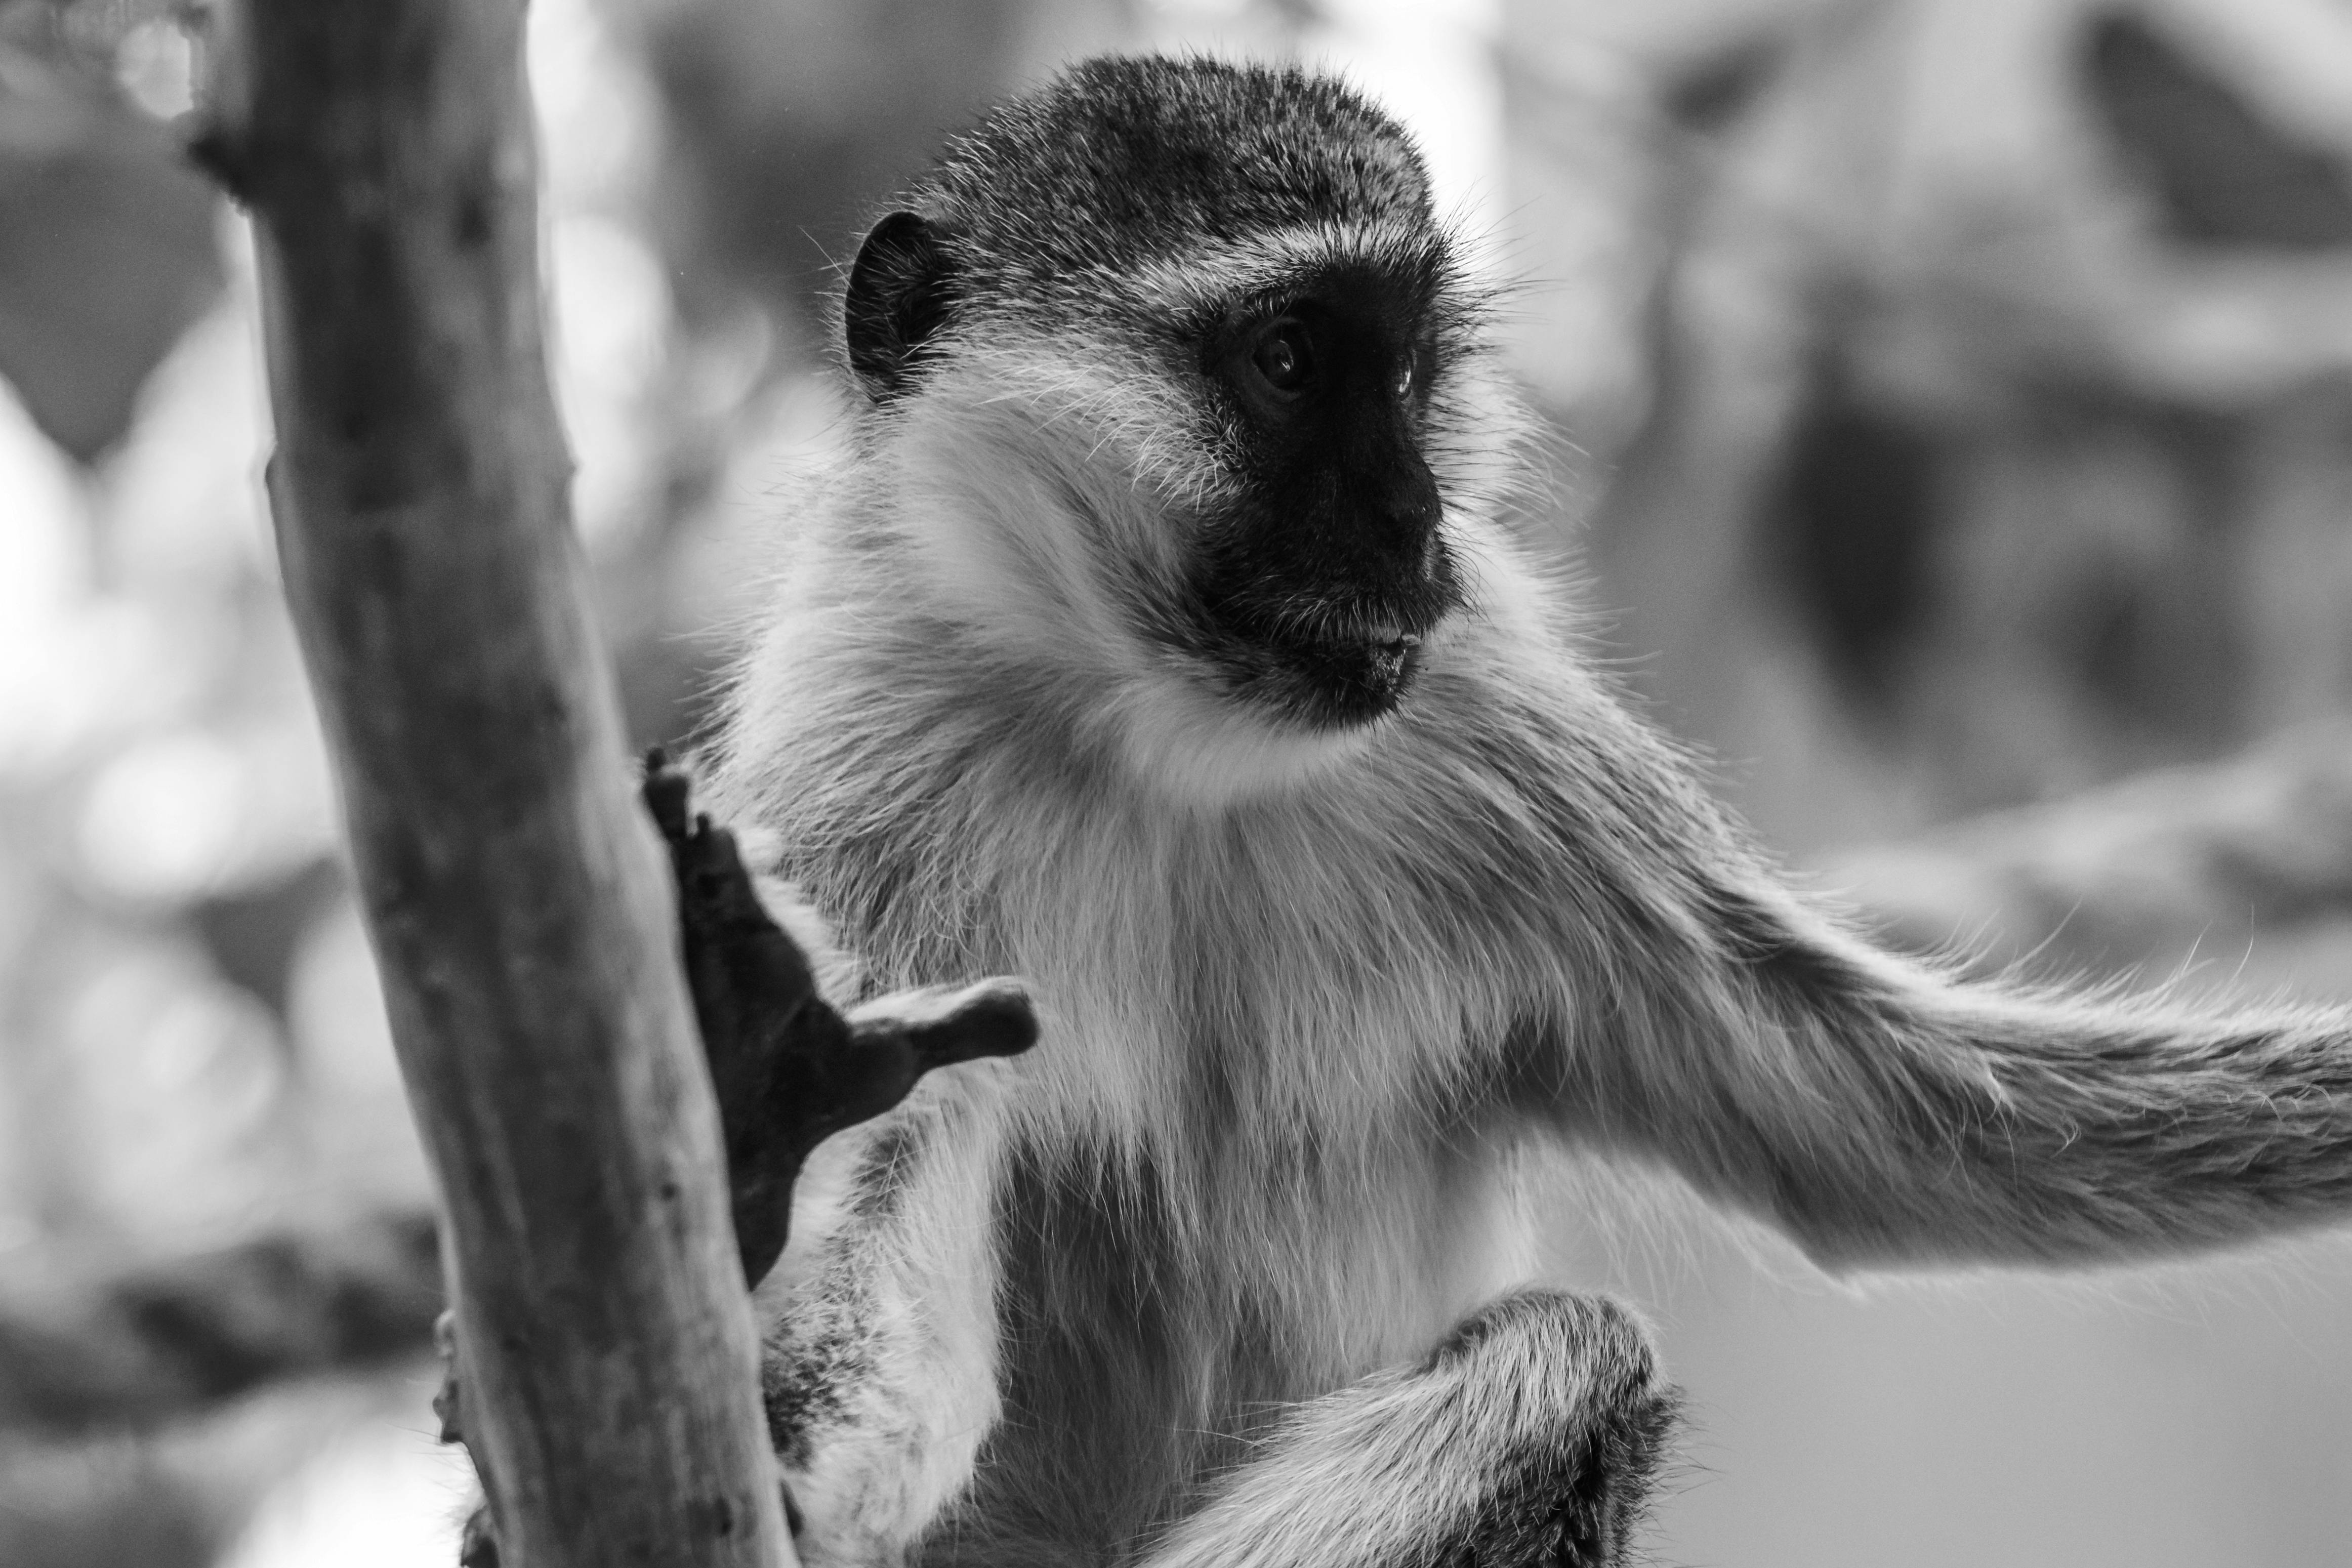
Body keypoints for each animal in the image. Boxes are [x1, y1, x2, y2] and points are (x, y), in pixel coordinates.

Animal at [482, 52, 2352, 1568]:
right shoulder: (854, 756)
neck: (1171, 744)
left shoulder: (1494, 716)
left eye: (1404, 373)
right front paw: (753, 1193)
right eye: (1288, 358)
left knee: (1569, 1357)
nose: (1410, 521)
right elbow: (886, 1251)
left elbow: (1898, 1128)